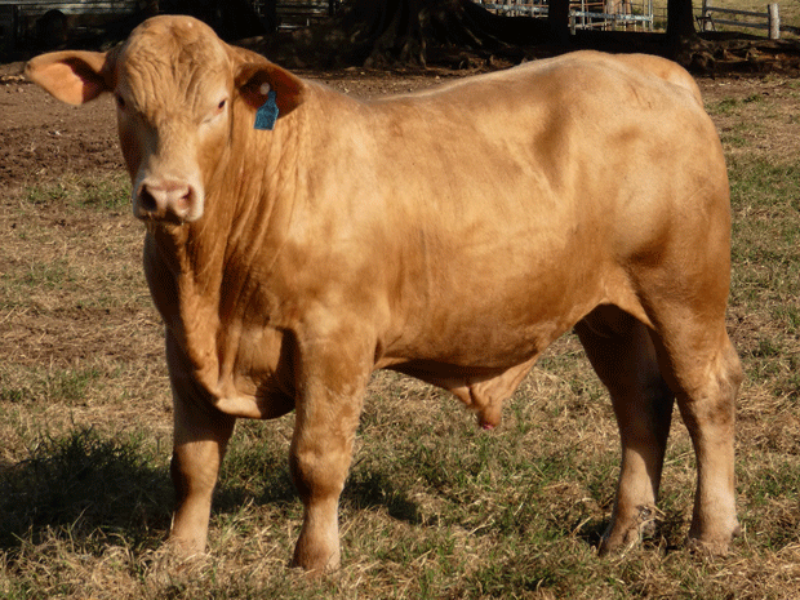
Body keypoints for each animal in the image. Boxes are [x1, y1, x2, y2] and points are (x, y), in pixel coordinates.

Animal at [26, 15, 742, 573]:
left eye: (219, 105)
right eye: (125, 102)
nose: (168, 195)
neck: (213, 281)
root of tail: (645, 68)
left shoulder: (335, 342)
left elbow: (317, 461)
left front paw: (314, 561)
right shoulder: (182, 345)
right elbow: (192, 463)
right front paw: (182, 556)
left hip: (683, 291)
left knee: (705, 392)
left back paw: (710, 535)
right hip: (608, 310)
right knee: (640, 401)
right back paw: (623, 533)